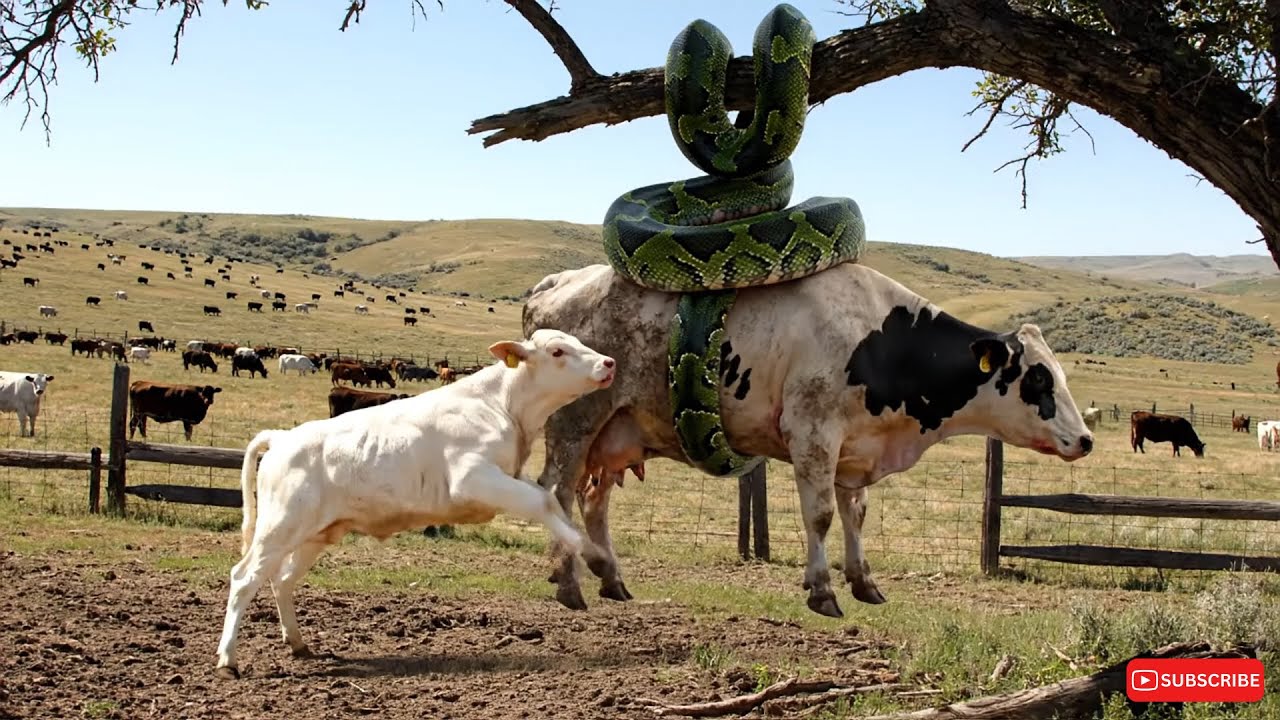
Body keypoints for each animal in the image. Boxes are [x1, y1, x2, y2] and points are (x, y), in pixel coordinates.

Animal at [212, 329, 614, 679]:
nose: (608, 362)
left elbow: (549, 499)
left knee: (281, 580)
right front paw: (592, 557)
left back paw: (298, 643)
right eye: (558, 351)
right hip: (279, 528)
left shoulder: (509, 475)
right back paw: (228, 660)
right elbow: (541, 503)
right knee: (245, 578)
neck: (501, 405)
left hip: (316, 533)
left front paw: (597, 559)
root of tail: (282, 438)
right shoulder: (473, 478)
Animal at [522, 263, 1092, 616]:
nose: (1084, 440)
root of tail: (559, 281)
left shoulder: (856, 450)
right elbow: (819, 515)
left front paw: (864, 582)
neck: (883, 342)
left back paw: (609, 576)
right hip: (576, 422)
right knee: (557, 491)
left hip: (618, 434)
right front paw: (822, 590)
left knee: (593, 502)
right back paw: (569, 581)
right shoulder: (814, 433)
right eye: (1038, 380)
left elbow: (855, 514)